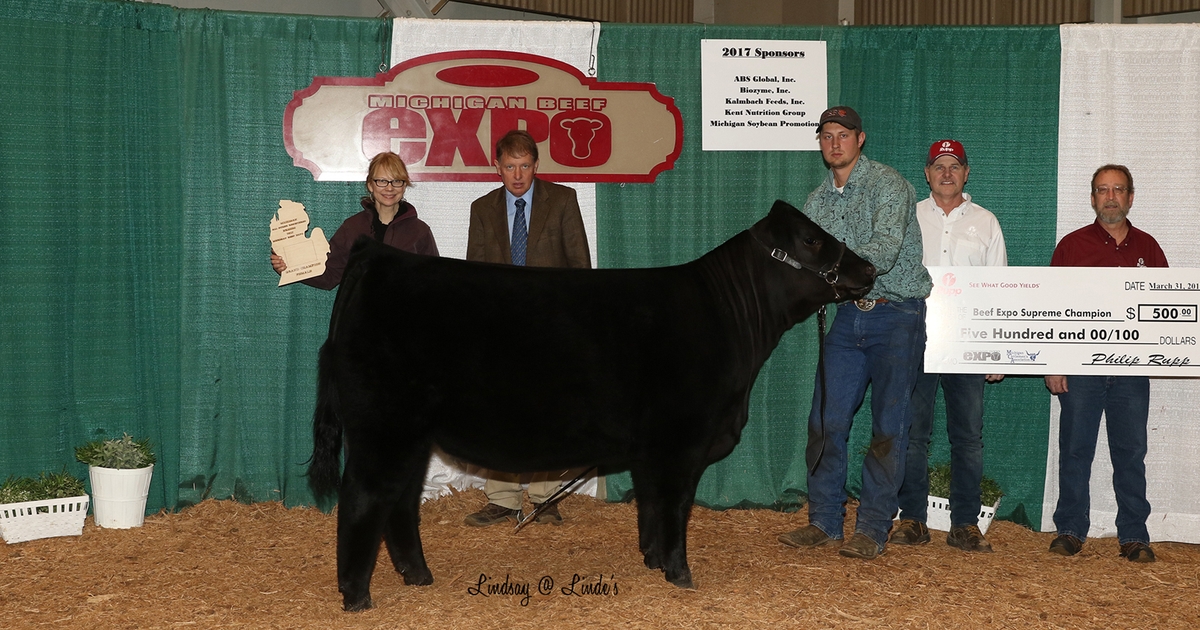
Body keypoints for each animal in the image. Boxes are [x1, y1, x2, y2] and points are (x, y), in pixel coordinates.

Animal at [308, 200, 876, 611]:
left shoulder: (653, 449)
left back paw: (418, 576)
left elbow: (651, 506)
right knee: (365, 499)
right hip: (385, 427)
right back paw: (357, 597)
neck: (727, 318)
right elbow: (674, 508)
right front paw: (680, 574)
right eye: (810, 239)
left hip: (411, 433)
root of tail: (377, 256)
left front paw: (652, 562)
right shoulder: (681, 441)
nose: (869, 268)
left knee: (401, 501)